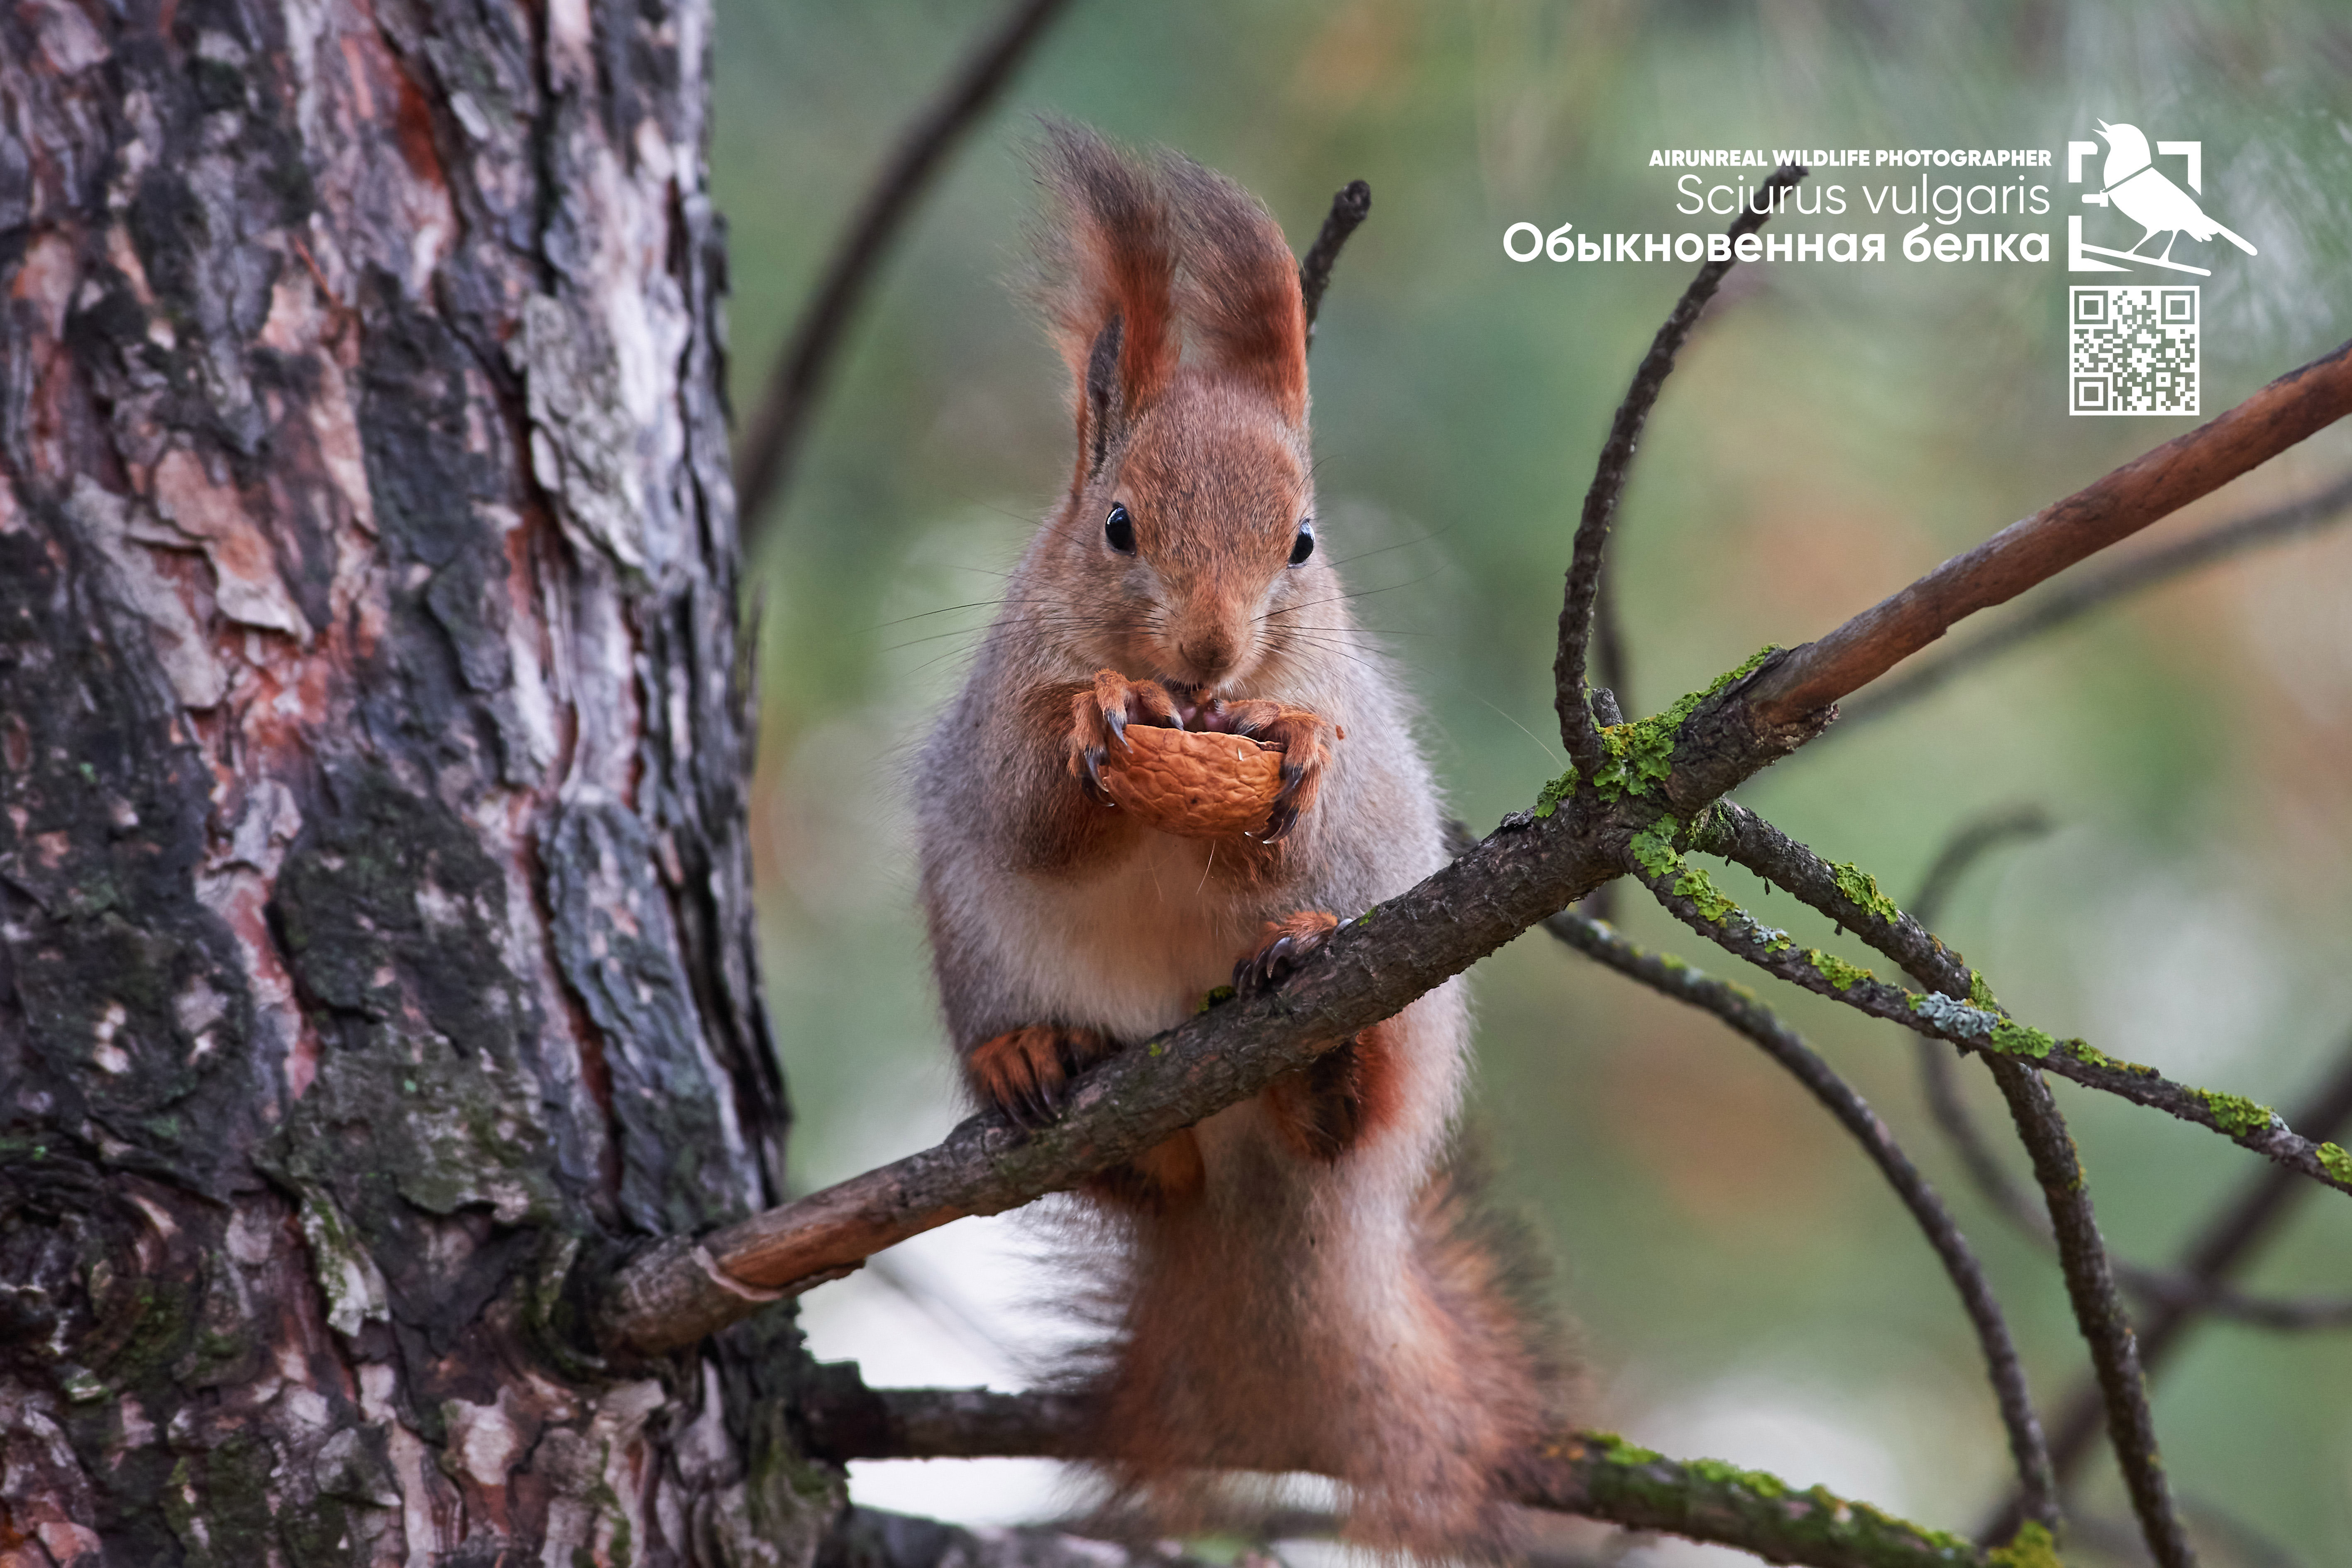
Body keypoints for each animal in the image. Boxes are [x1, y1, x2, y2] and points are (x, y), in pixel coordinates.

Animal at [917, 126, 1561, 1561]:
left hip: (1406, 1003)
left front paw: (1286, 745)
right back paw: (1043, 1059)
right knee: (1144, 1177)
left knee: (1354, 1113)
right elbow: (1034, 812)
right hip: (985, 950)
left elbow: (1285, 796)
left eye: (1304, 543)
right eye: (1115, 525)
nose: (1211, 656)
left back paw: (1319, 1039)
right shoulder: (989, 729)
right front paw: (1100, 722)